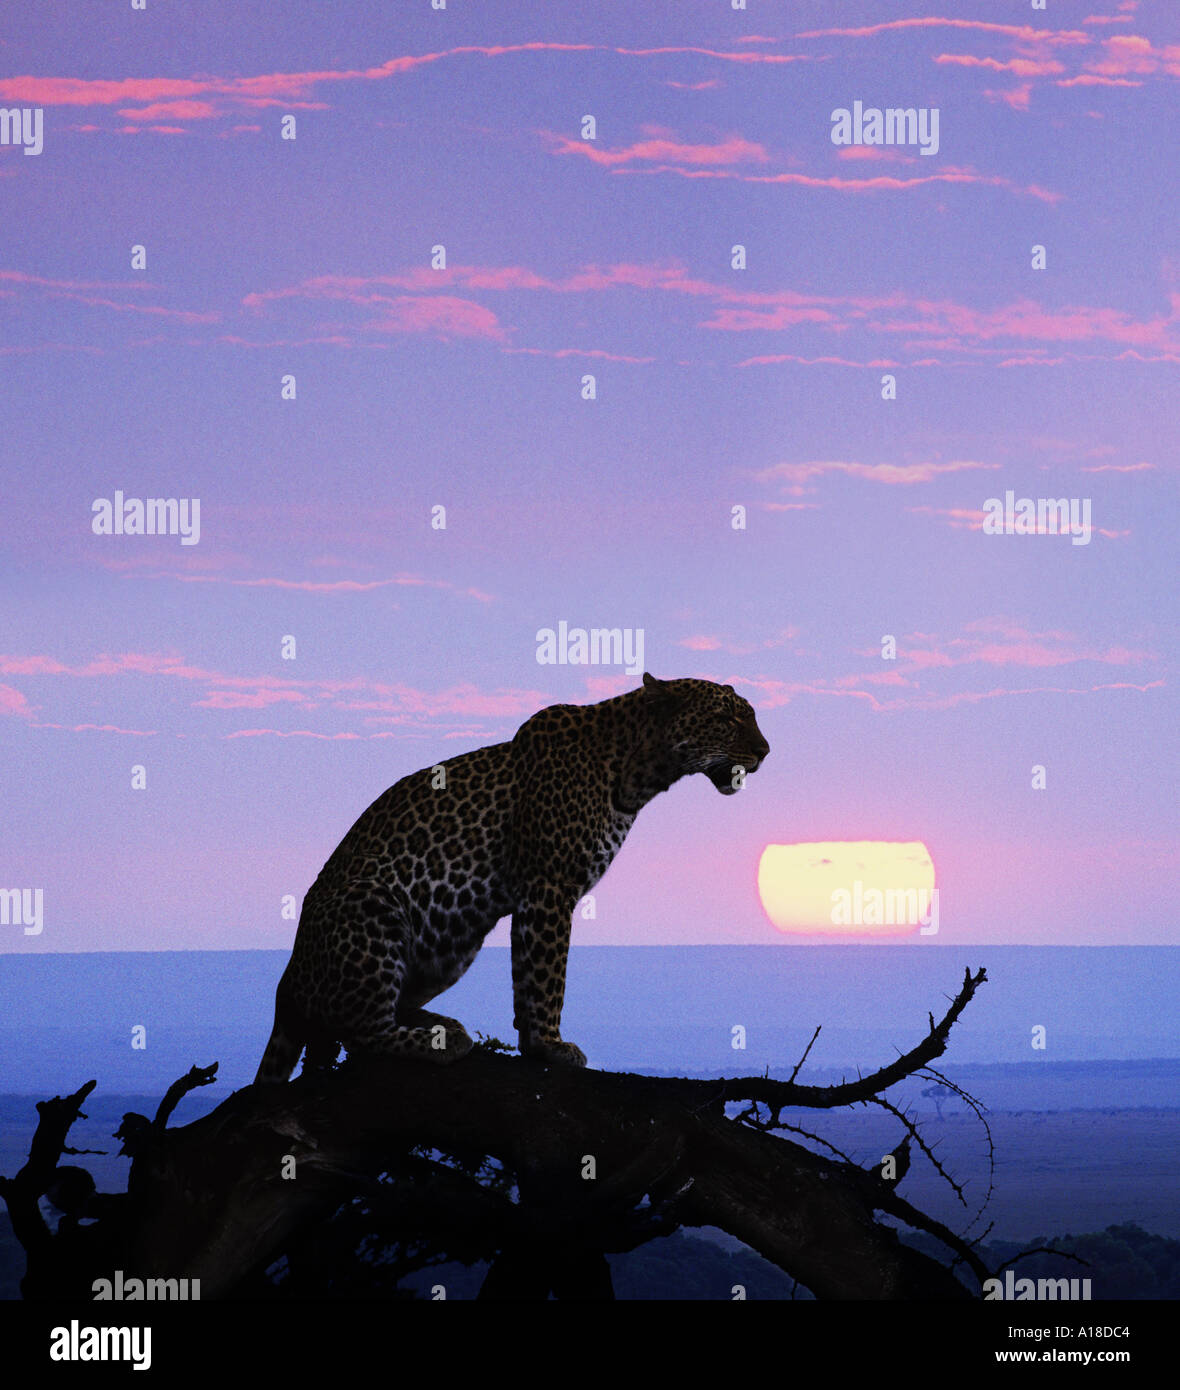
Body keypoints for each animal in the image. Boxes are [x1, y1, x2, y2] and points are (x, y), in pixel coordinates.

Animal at [255, 672, 769, 1081]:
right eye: (726, 719)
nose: (765, 751)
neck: (636, 772)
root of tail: (287, 981)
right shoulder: (549, 886)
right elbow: (548, 973)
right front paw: (551, 1045)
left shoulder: (537, 896)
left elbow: (529, 973)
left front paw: (533, 1043)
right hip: (372, 905)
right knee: (361, 1030)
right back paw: (440, 1042)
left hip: (453, 940)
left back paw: (441, 1023)